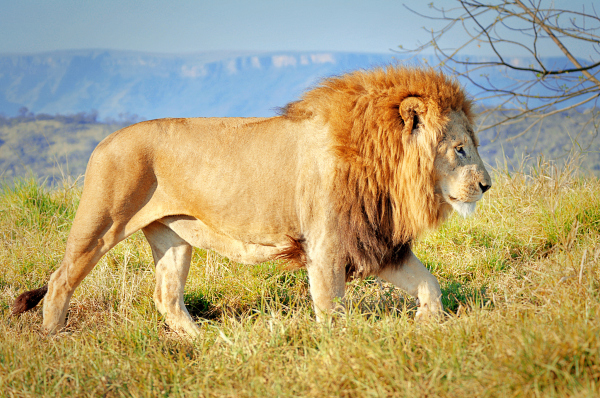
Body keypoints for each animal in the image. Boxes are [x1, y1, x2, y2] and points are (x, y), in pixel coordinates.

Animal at [12, 65, 492, 336]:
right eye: (460, 149)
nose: (488, 185)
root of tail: (104, 141)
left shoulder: (377, 242)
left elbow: (429, 284)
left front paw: (428, 325)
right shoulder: (328, 244)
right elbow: (330, 307)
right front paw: (339, 346)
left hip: (171, 236)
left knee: (167, 297)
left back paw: (205, 341)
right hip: (101, 221)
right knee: (60, 281)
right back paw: (55, 338)